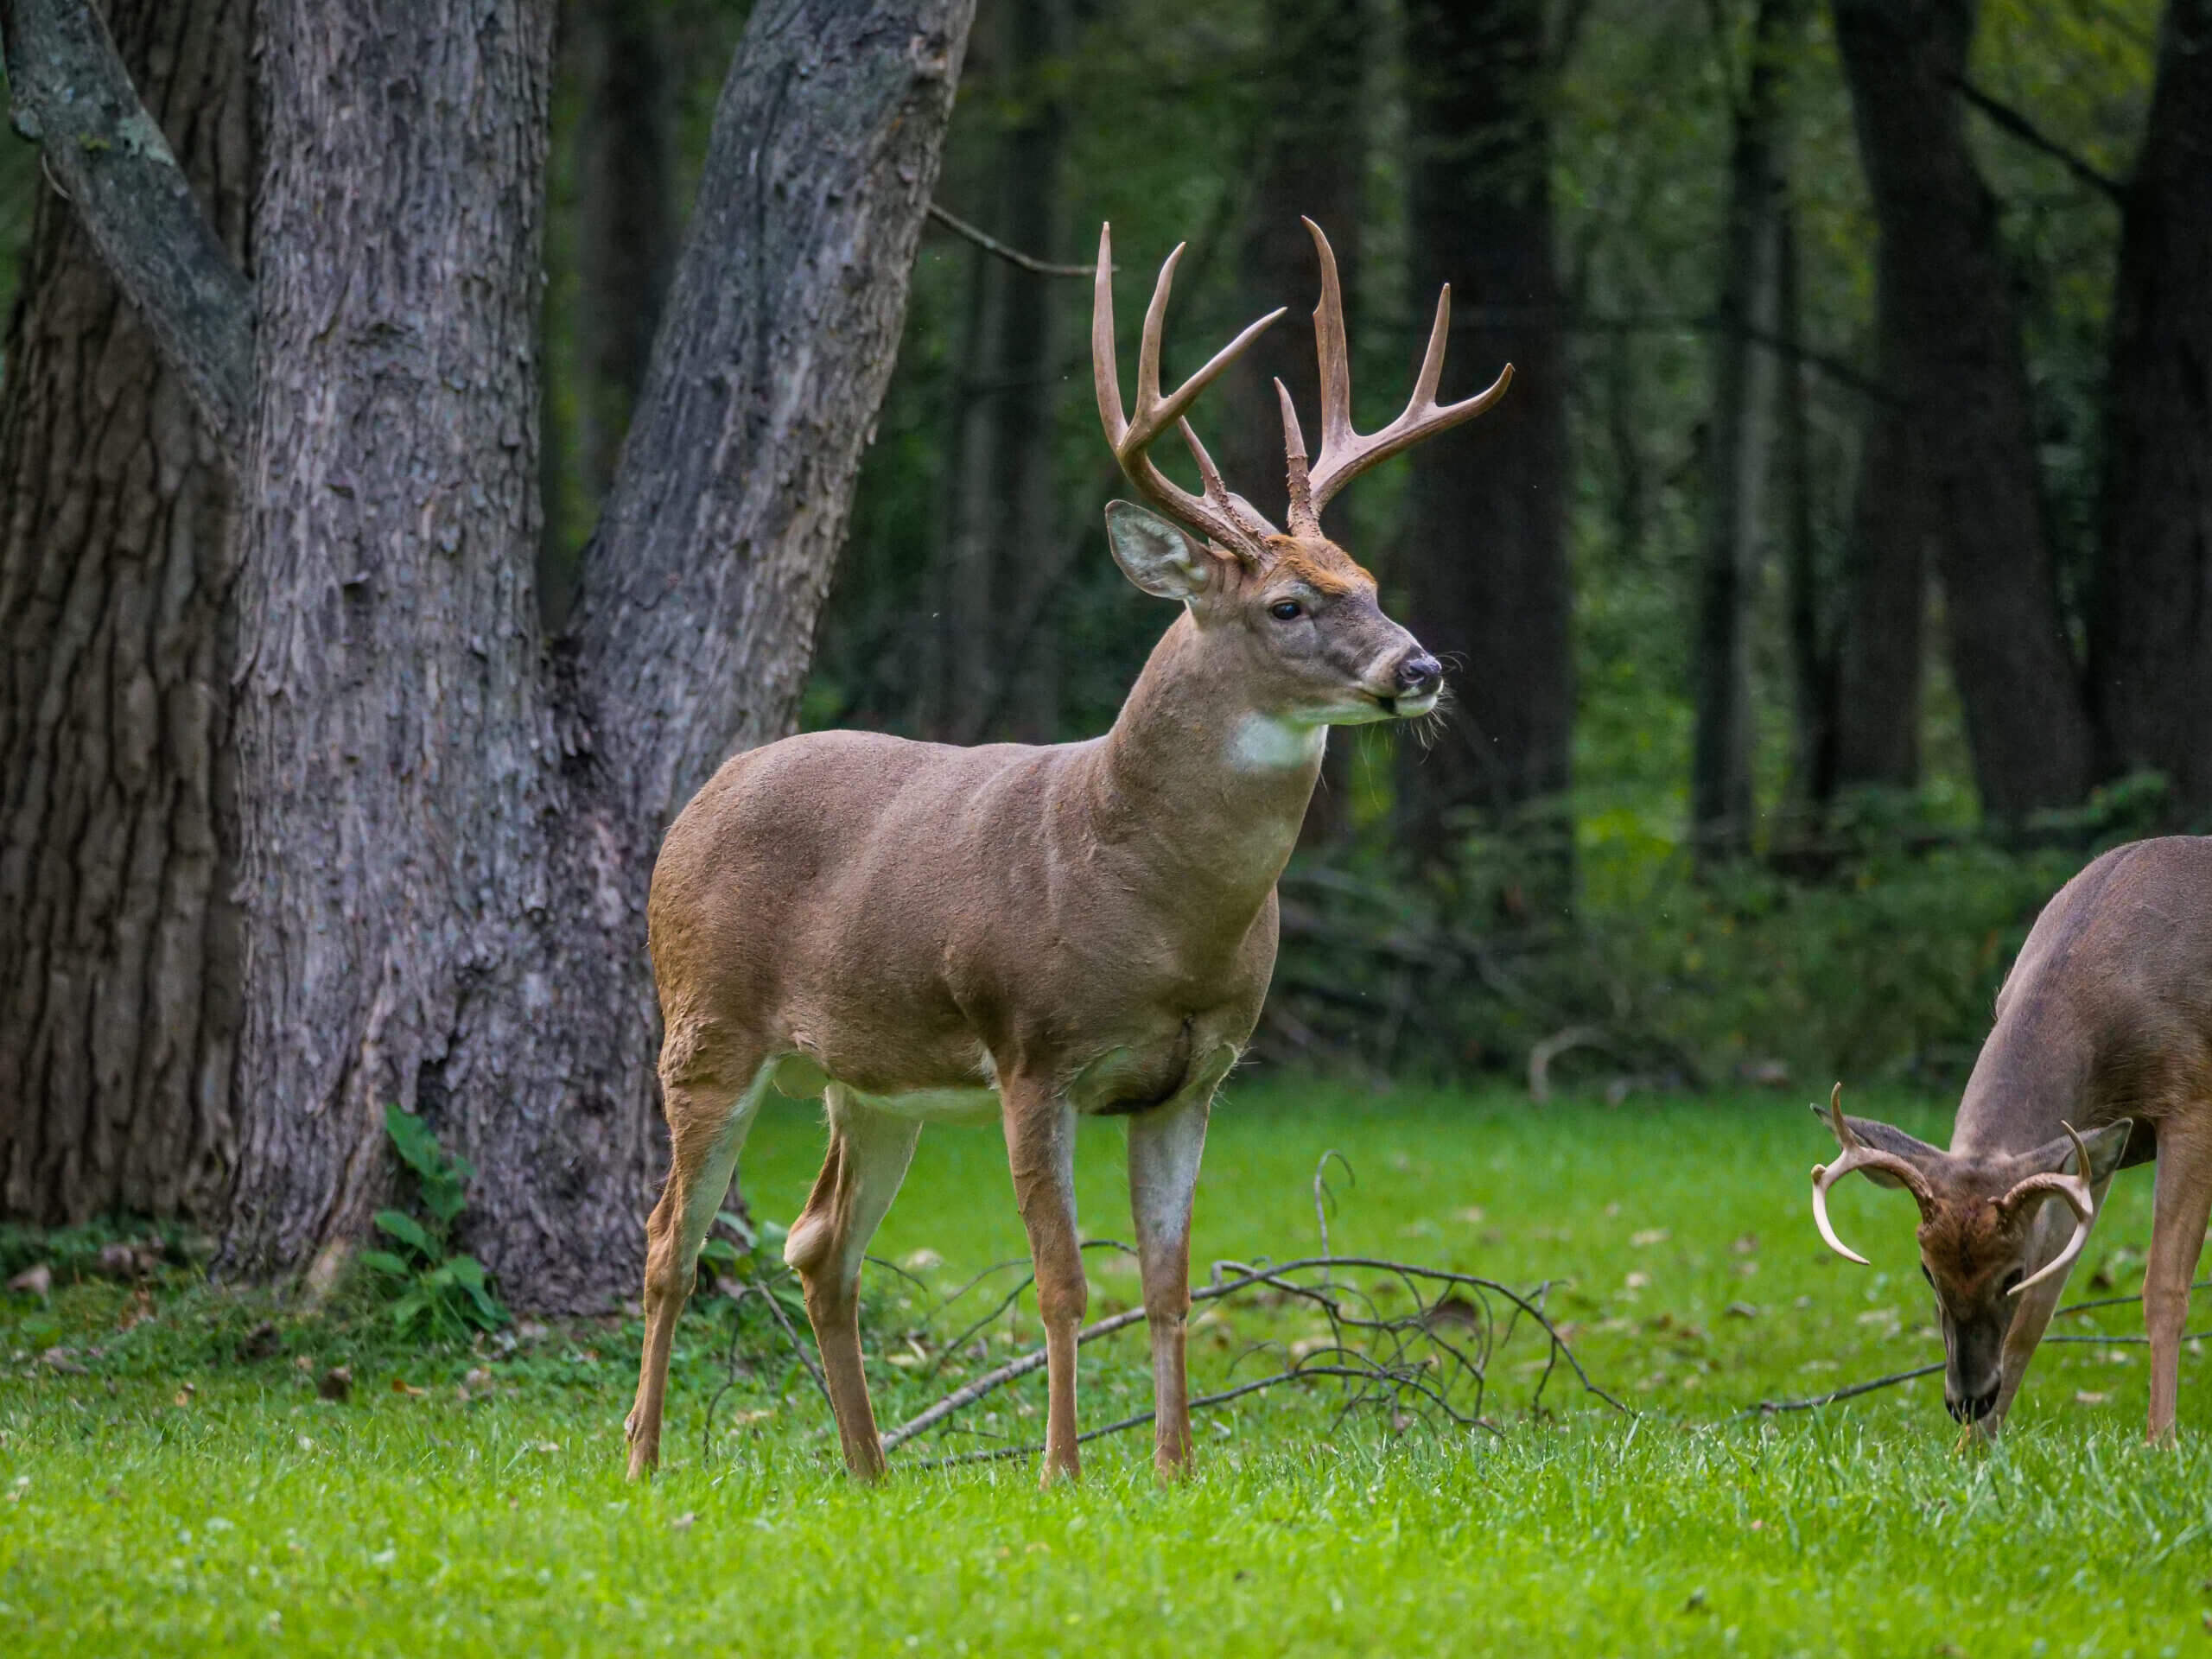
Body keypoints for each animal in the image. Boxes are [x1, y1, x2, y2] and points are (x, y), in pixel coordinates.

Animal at [621, 219, 1512, 1486]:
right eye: (1289, 605)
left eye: (1370, 584)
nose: (1422, 666)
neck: (1147, 897)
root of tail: (701, 796)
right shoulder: (1031, 1048)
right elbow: (1065, 1283)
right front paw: (1062, 1473)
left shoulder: (1196, 1077)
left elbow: (1170, 1286)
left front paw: (1176, 1471)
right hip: (705, 1025)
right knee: (670, 1237)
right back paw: (645, 1461)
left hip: (869, 1080)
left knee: (818, 1243)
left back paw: (873, 1472)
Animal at [1806, 835, 2212, 1443]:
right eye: (1928, 1272)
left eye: (2010, 1273)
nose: (1967, 1400)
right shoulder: (2091, 1152)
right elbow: (2038, 1311)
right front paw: (1971, 1451)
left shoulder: (2192, 1099)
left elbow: (2163, 1287)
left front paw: (2159, 1441)